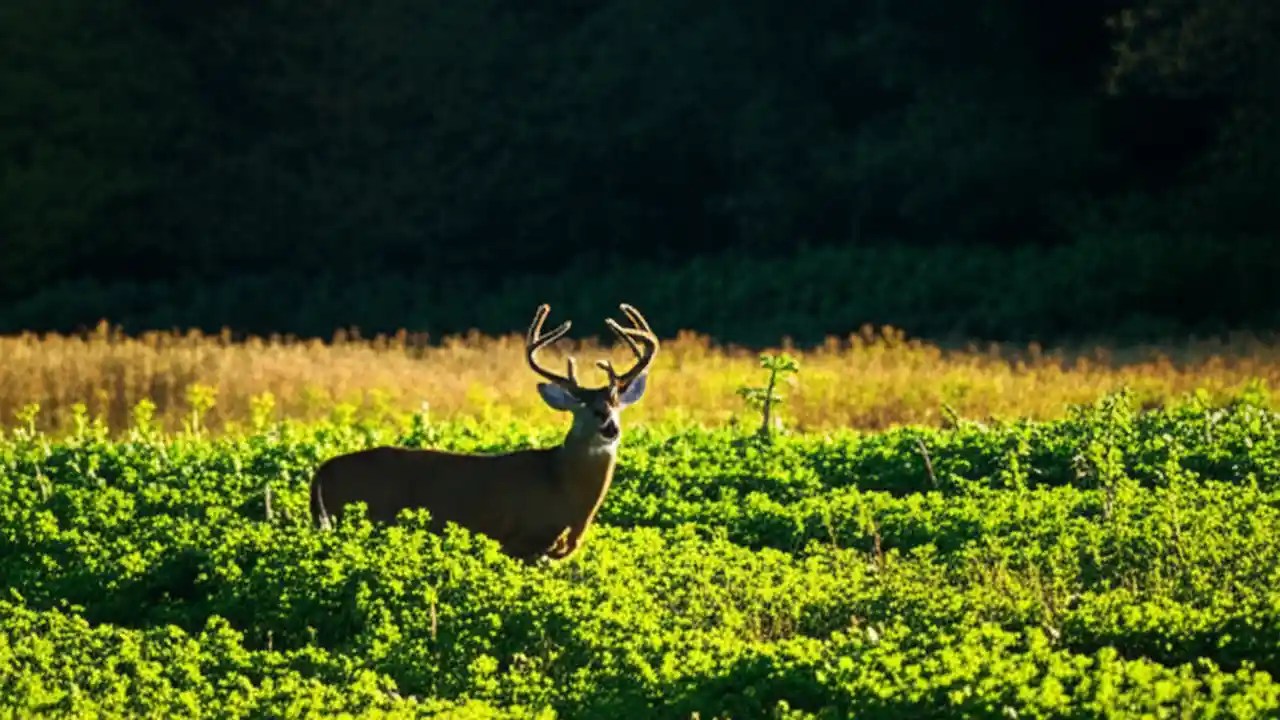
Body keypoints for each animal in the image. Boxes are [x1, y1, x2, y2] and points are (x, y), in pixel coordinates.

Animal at [308, 303, 659, 563]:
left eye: (616, 405)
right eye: (585, 407)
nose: (610, 426)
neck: (561, 486)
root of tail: (322, 471)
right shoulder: (518, 541)